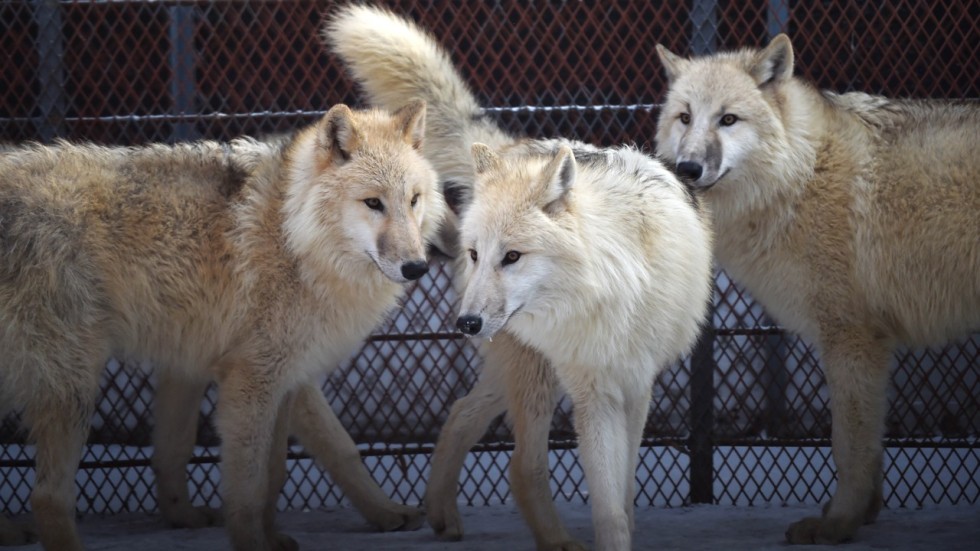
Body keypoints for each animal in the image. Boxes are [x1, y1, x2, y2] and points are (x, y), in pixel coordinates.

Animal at [0, 99, 446, 551]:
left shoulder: (256, 374)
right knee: (47, 497)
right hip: (73, 386)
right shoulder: (251, 379)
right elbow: (249, 484)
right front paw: (252, 541)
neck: (294, 237)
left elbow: (304, 458)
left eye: (413, 200)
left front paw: (383, 513)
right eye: (373, 203)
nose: (416, 268)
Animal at [326, 6, 715, 550]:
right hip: (534, 374)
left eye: (512, 256)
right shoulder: (593, 394)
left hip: (516, 372)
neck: (612, 286)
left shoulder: (635, 388)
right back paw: (552, 539)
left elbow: (624, 496)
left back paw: (443, 516)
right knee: (521, 464)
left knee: (460, 413)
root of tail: (520, 147)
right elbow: (607, 507)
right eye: (476, 254)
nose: (464, 323)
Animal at [654, 36, 980, 544]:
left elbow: (849, 445)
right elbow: (868, 448)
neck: (802, 174)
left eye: (729, 119)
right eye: (685, 117)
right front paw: (862, 514)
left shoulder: (853, 339)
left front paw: (838, 525)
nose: (686, 168)